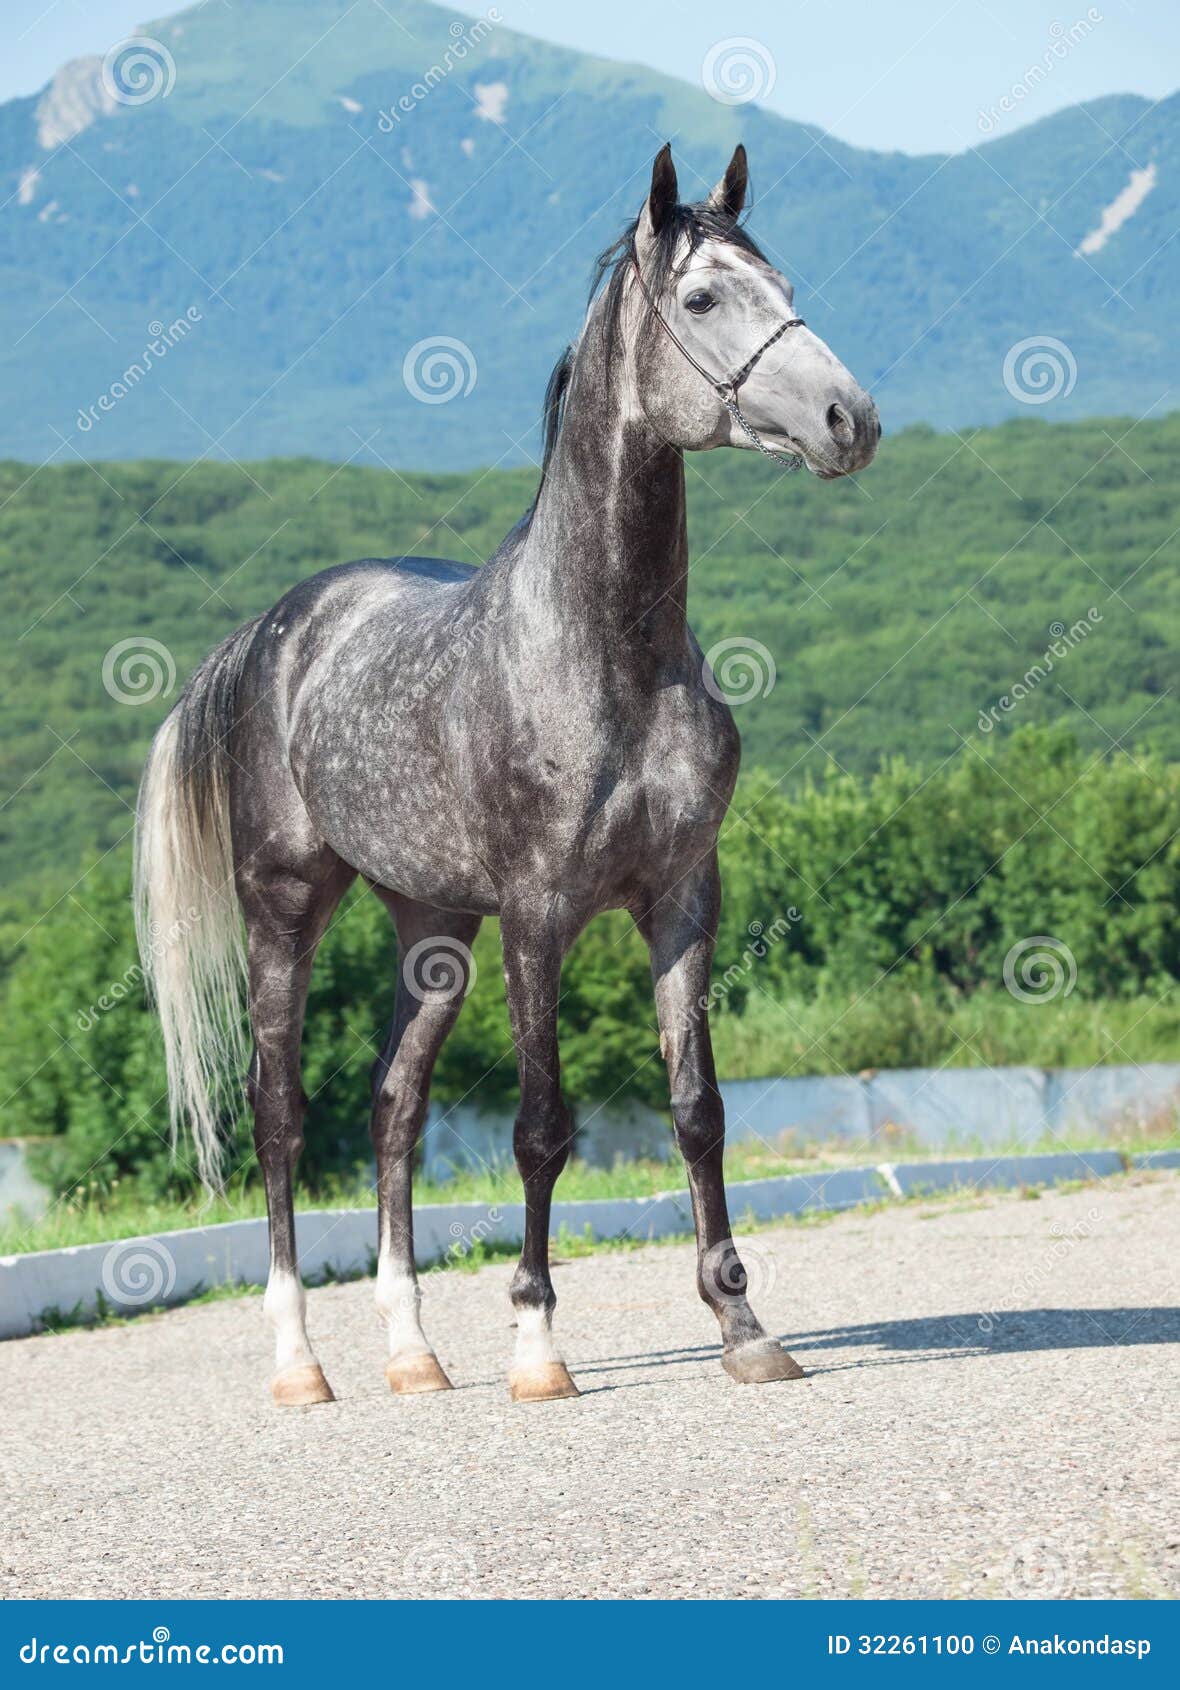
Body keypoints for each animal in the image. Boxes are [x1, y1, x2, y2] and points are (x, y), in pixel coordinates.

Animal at [134, 143, 879, 1407]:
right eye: (701, 299)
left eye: (783, 284)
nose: (850, 418)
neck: (606, 651)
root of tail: (274, 631)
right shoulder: (541, 914)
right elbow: (541, 1125)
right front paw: (537, 1342)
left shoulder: (683, 899)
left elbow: (697, 1110)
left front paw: (743, 1324)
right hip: (286, 905)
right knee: (279, 1112)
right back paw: (301, 1362)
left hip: (431, 927)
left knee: (393, 1107)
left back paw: (412, 1352)